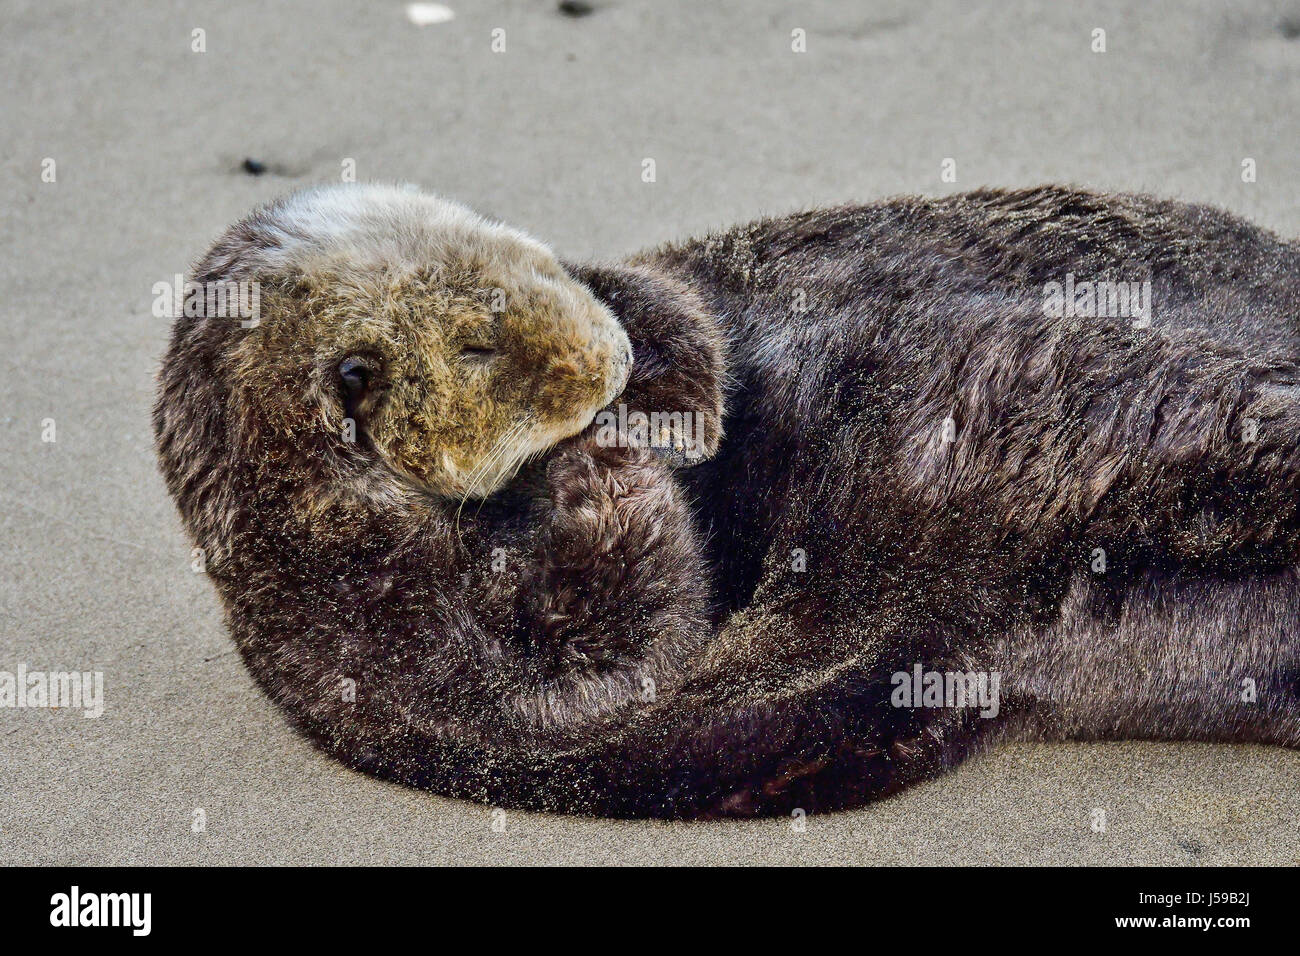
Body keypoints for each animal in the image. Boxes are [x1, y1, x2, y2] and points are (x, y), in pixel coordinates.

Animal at [155, 183, 1300, 818]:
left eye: (536, 259)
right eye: (476, 344)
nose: (608, 361)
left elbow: (674, 303)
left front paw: (675, 399)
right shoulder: (373, 636)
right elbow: (603, 665)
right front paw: (602, 459)